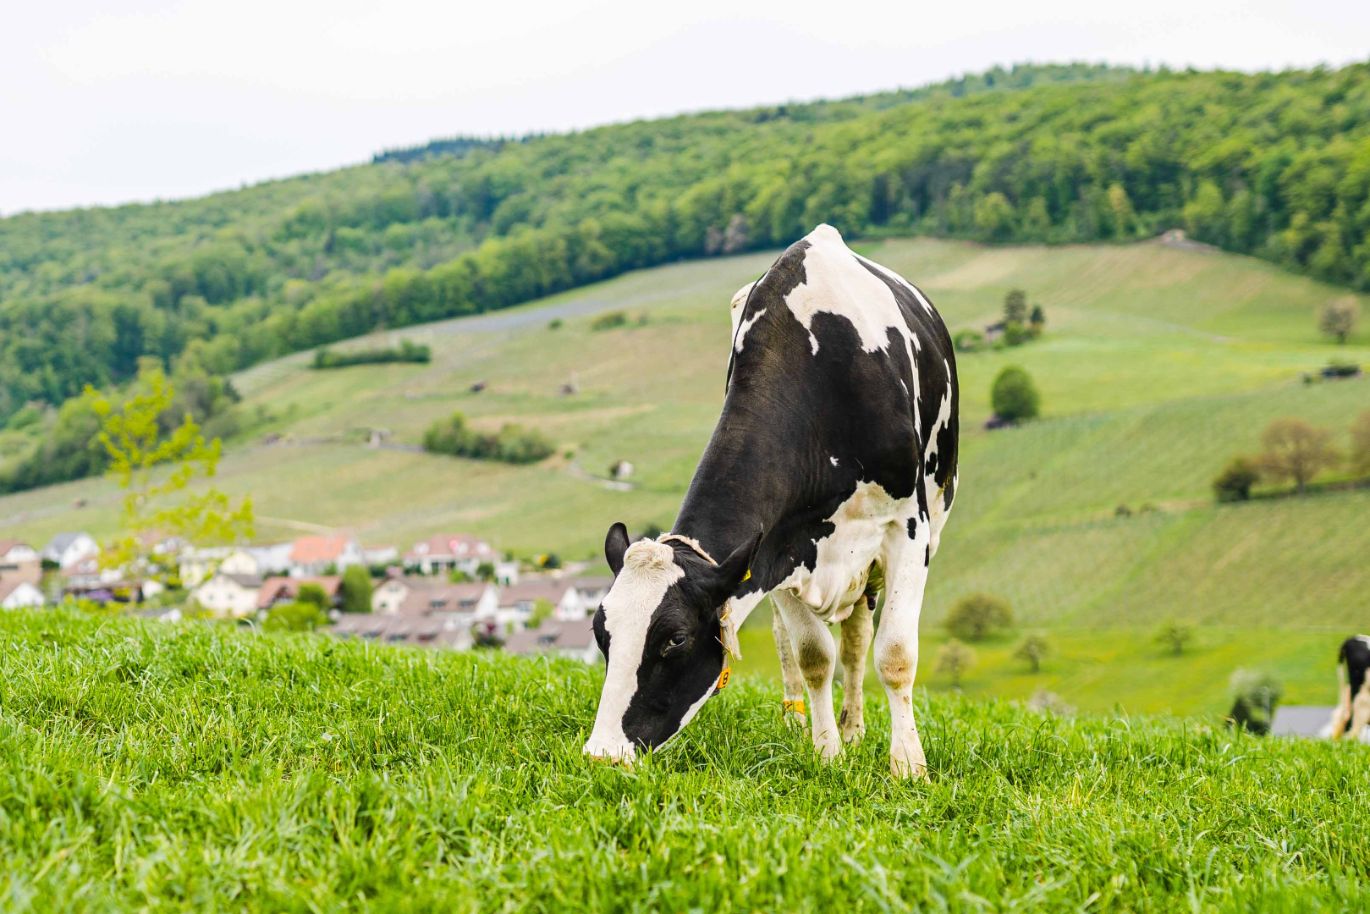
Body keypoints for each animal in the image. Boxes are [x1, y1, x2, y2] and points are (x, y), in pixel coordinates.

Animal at [584, 224, 958, 778]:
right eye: (601, 632)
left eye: (675, 638)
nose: (603, 755)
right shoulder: (778, 548)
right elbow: (812, 656)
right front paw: (826, 755)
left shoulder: (906, 526)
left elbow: (894, 654)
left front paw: (908, 767)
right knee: (809, 642)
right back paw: (804, 723)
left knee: (859, 640)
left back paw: (855, 727)